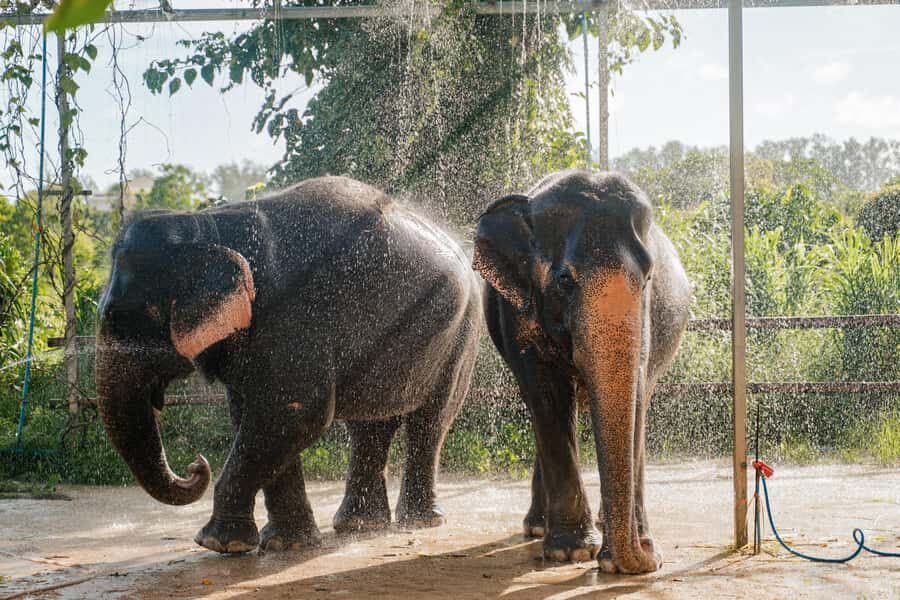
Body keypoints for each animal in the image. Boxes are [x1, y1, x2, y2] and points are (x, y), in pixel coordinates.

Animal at [96, 175, 481, 554]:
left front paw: (219, 543)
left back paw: (420, 522)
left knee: (430, 422)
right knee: (370, 425)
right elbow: (257, 417)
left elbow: (292, 414)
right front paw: (285, 543)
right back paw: (359, 525)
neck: (207, 228)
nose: (196, 464)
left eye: (119, 318)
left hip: (463, 335)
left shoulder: (291, 315)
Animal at [472, 170, 690, 574]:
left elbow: (636, 395)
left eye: (649, 278)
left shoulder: (646, 319)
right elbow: (546, 397)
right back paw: (539, 527)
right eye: (564, 281)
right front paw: (571, 553)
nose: (649, 557)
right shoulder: (519, 311)